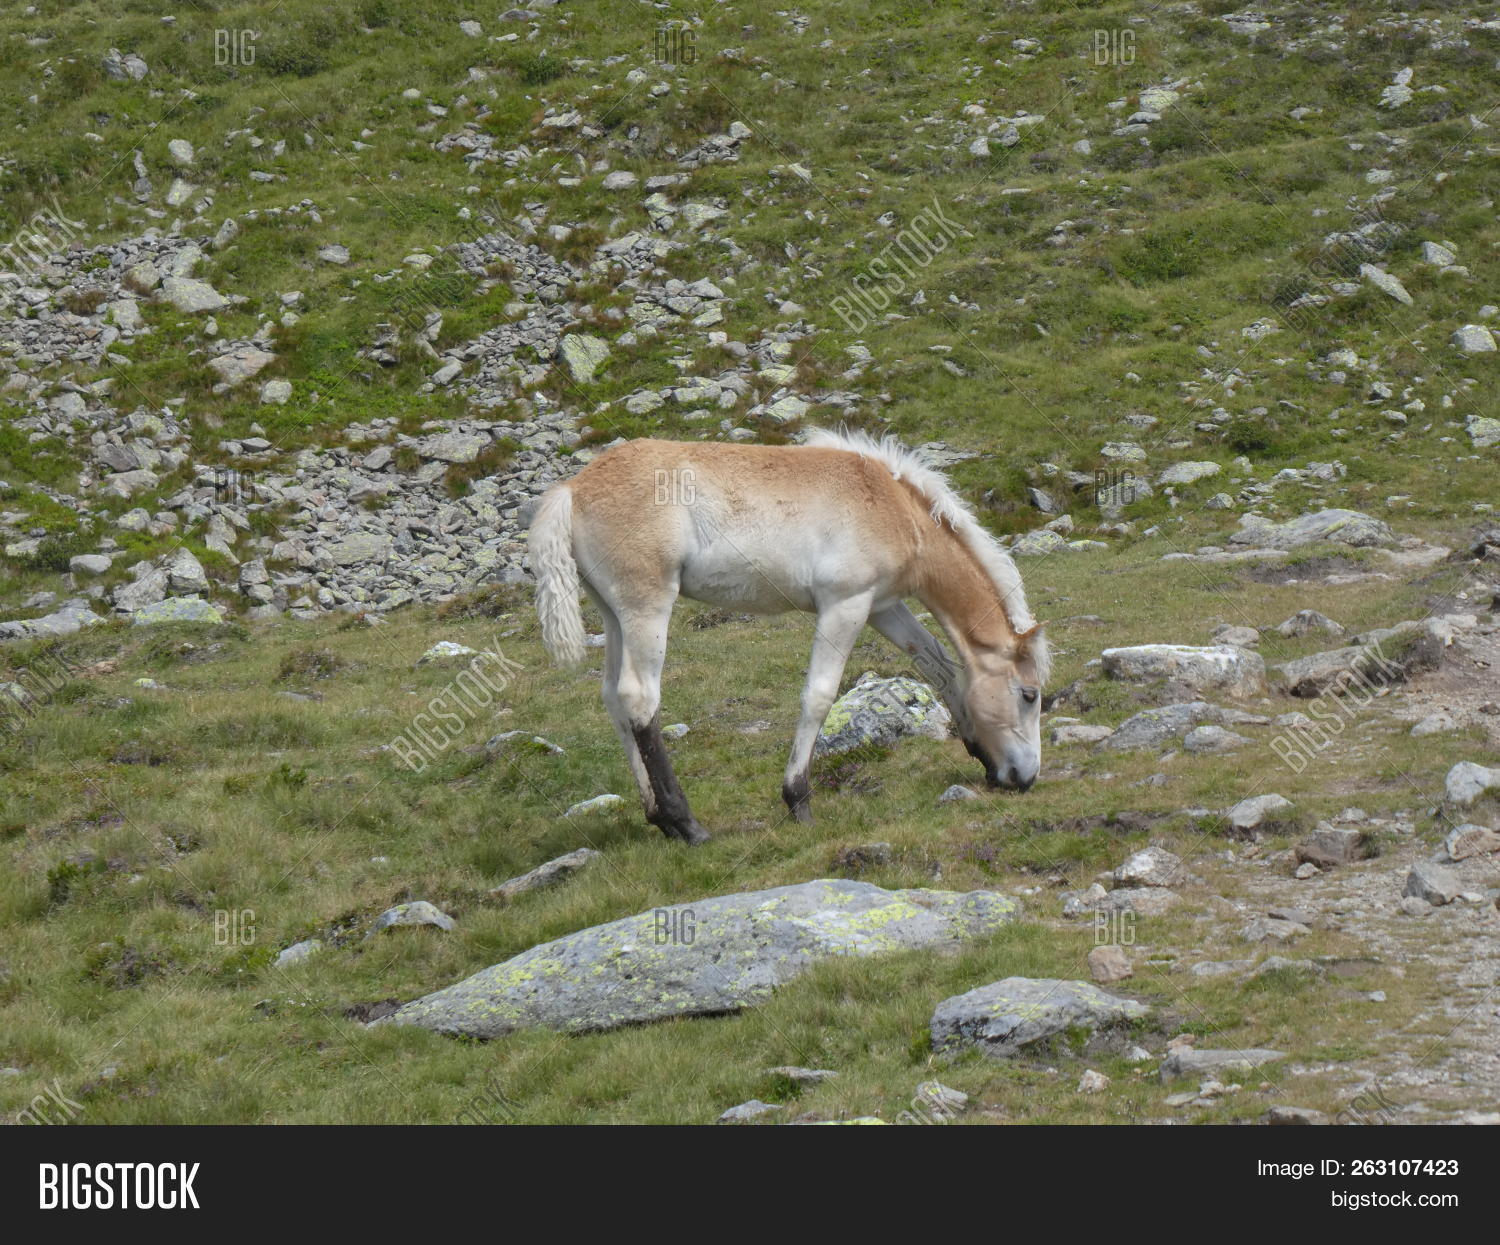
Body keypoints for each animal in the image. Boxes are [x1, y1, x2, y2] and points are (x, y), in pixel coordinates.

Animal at [527, 428, 1049, 845]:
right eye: (1028, 694)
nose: (1025, 778)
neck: (893, 507)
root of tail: (572, 488)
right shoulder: (845, 605)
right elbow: (819, 695)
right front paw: (797, 800)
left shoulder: (882, 605)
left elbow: (938, 665)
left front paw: (979, 751)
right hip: (646, 606)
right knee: (639, 699)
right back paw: (687, 824)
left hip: (613, 614)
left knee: (614, 700)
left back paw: (658, 817)